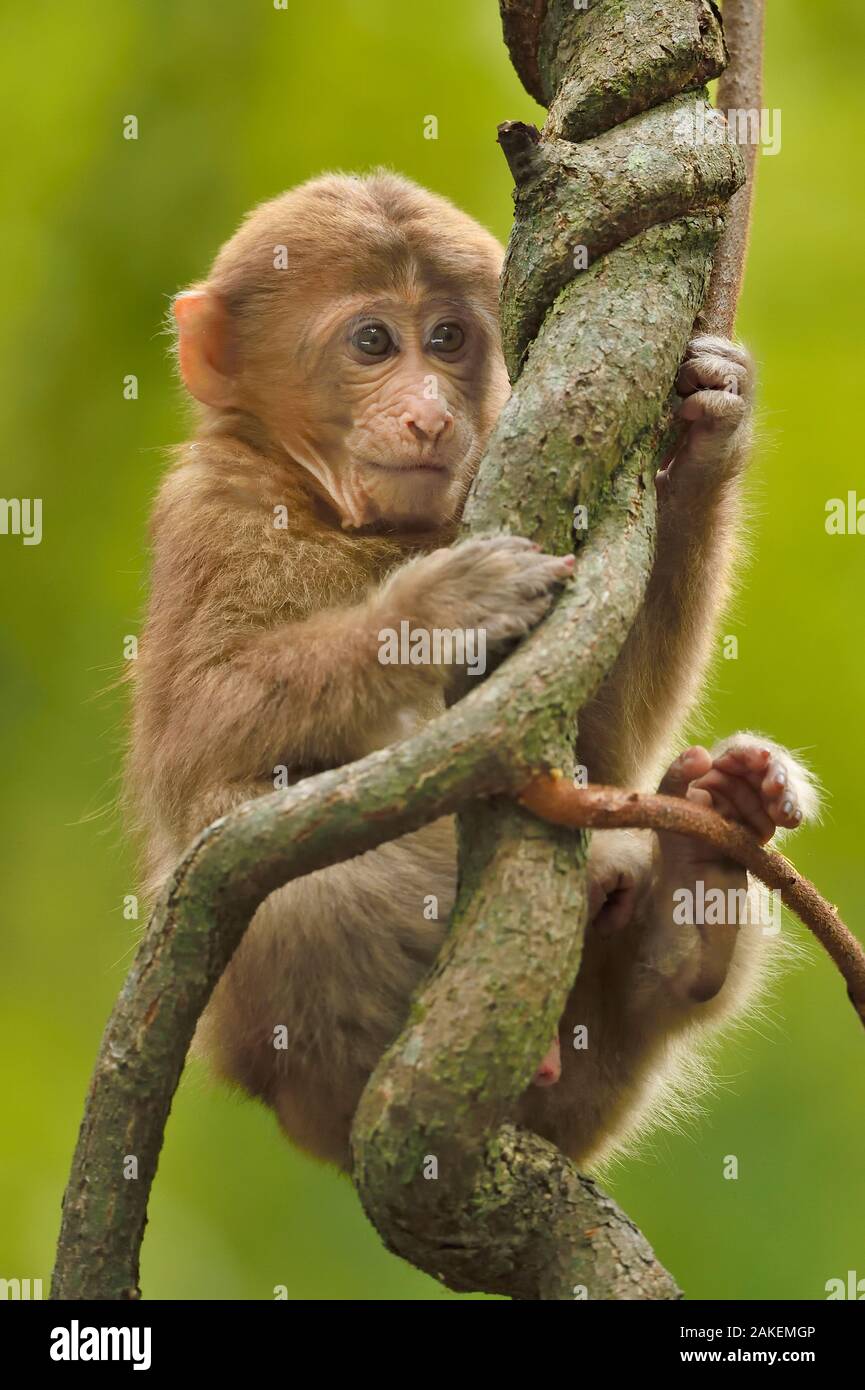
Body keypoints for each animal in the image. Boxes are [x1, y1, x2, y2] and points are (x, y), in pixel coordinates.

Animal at [127, 170, 819, 1174]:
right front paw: (428, 614)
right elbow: (195, 732)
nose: (430, 413)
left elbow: (597, 744)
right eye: (373, 343)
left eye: (449, 339)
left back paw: (700, 889)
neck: (339, 514)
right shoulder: (211, 511)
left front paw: (705, 439)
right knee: (287, 877)